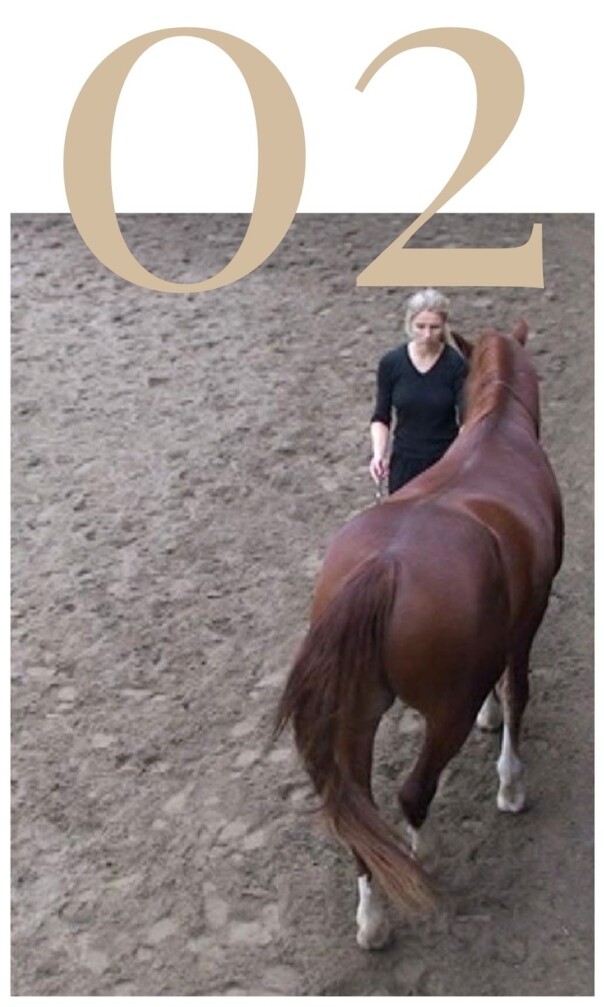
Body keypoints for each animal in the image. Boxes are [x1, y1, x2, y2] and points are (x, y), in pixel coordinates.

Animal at [275, 321, 564, 949]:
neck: (495, 430)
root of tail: (385, 567)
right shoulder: (528, 620)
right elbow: (517, 692)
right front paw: (510, 785)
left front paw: (492, 720)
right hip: (444, 710)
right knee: (413, 793)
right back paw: (422, 859)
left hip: (355, 719)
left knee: (359, 811)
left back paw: (373, 919)